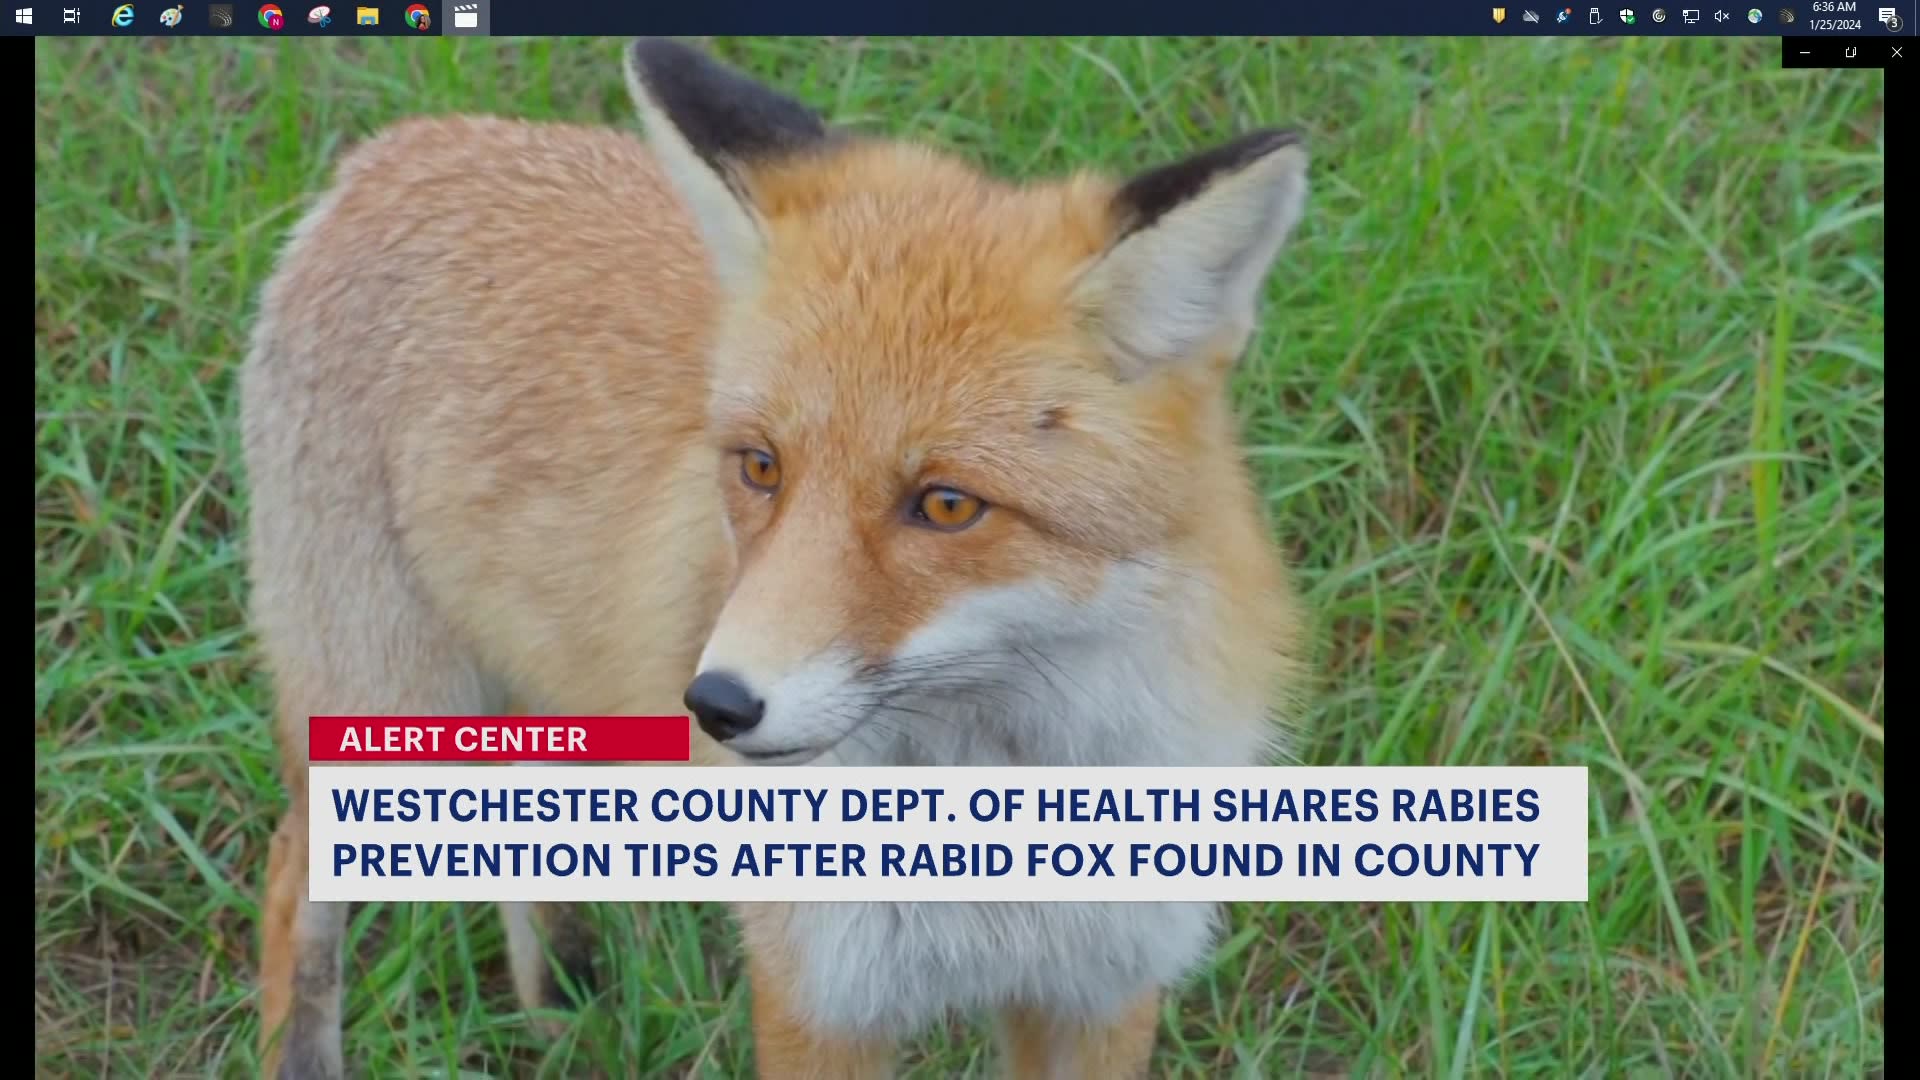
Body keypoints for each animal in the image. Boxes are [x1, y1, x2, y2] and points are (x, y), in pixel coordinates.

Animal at [239, 36, 1311, 1080]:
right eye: (762, 466)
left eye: (947, 505)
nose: (715, 705)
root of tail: (406, 144)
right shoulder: (822, 996)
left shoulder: (1099, 991)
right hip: (387, 701)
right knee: (293, 878)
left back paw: (565, 1012)